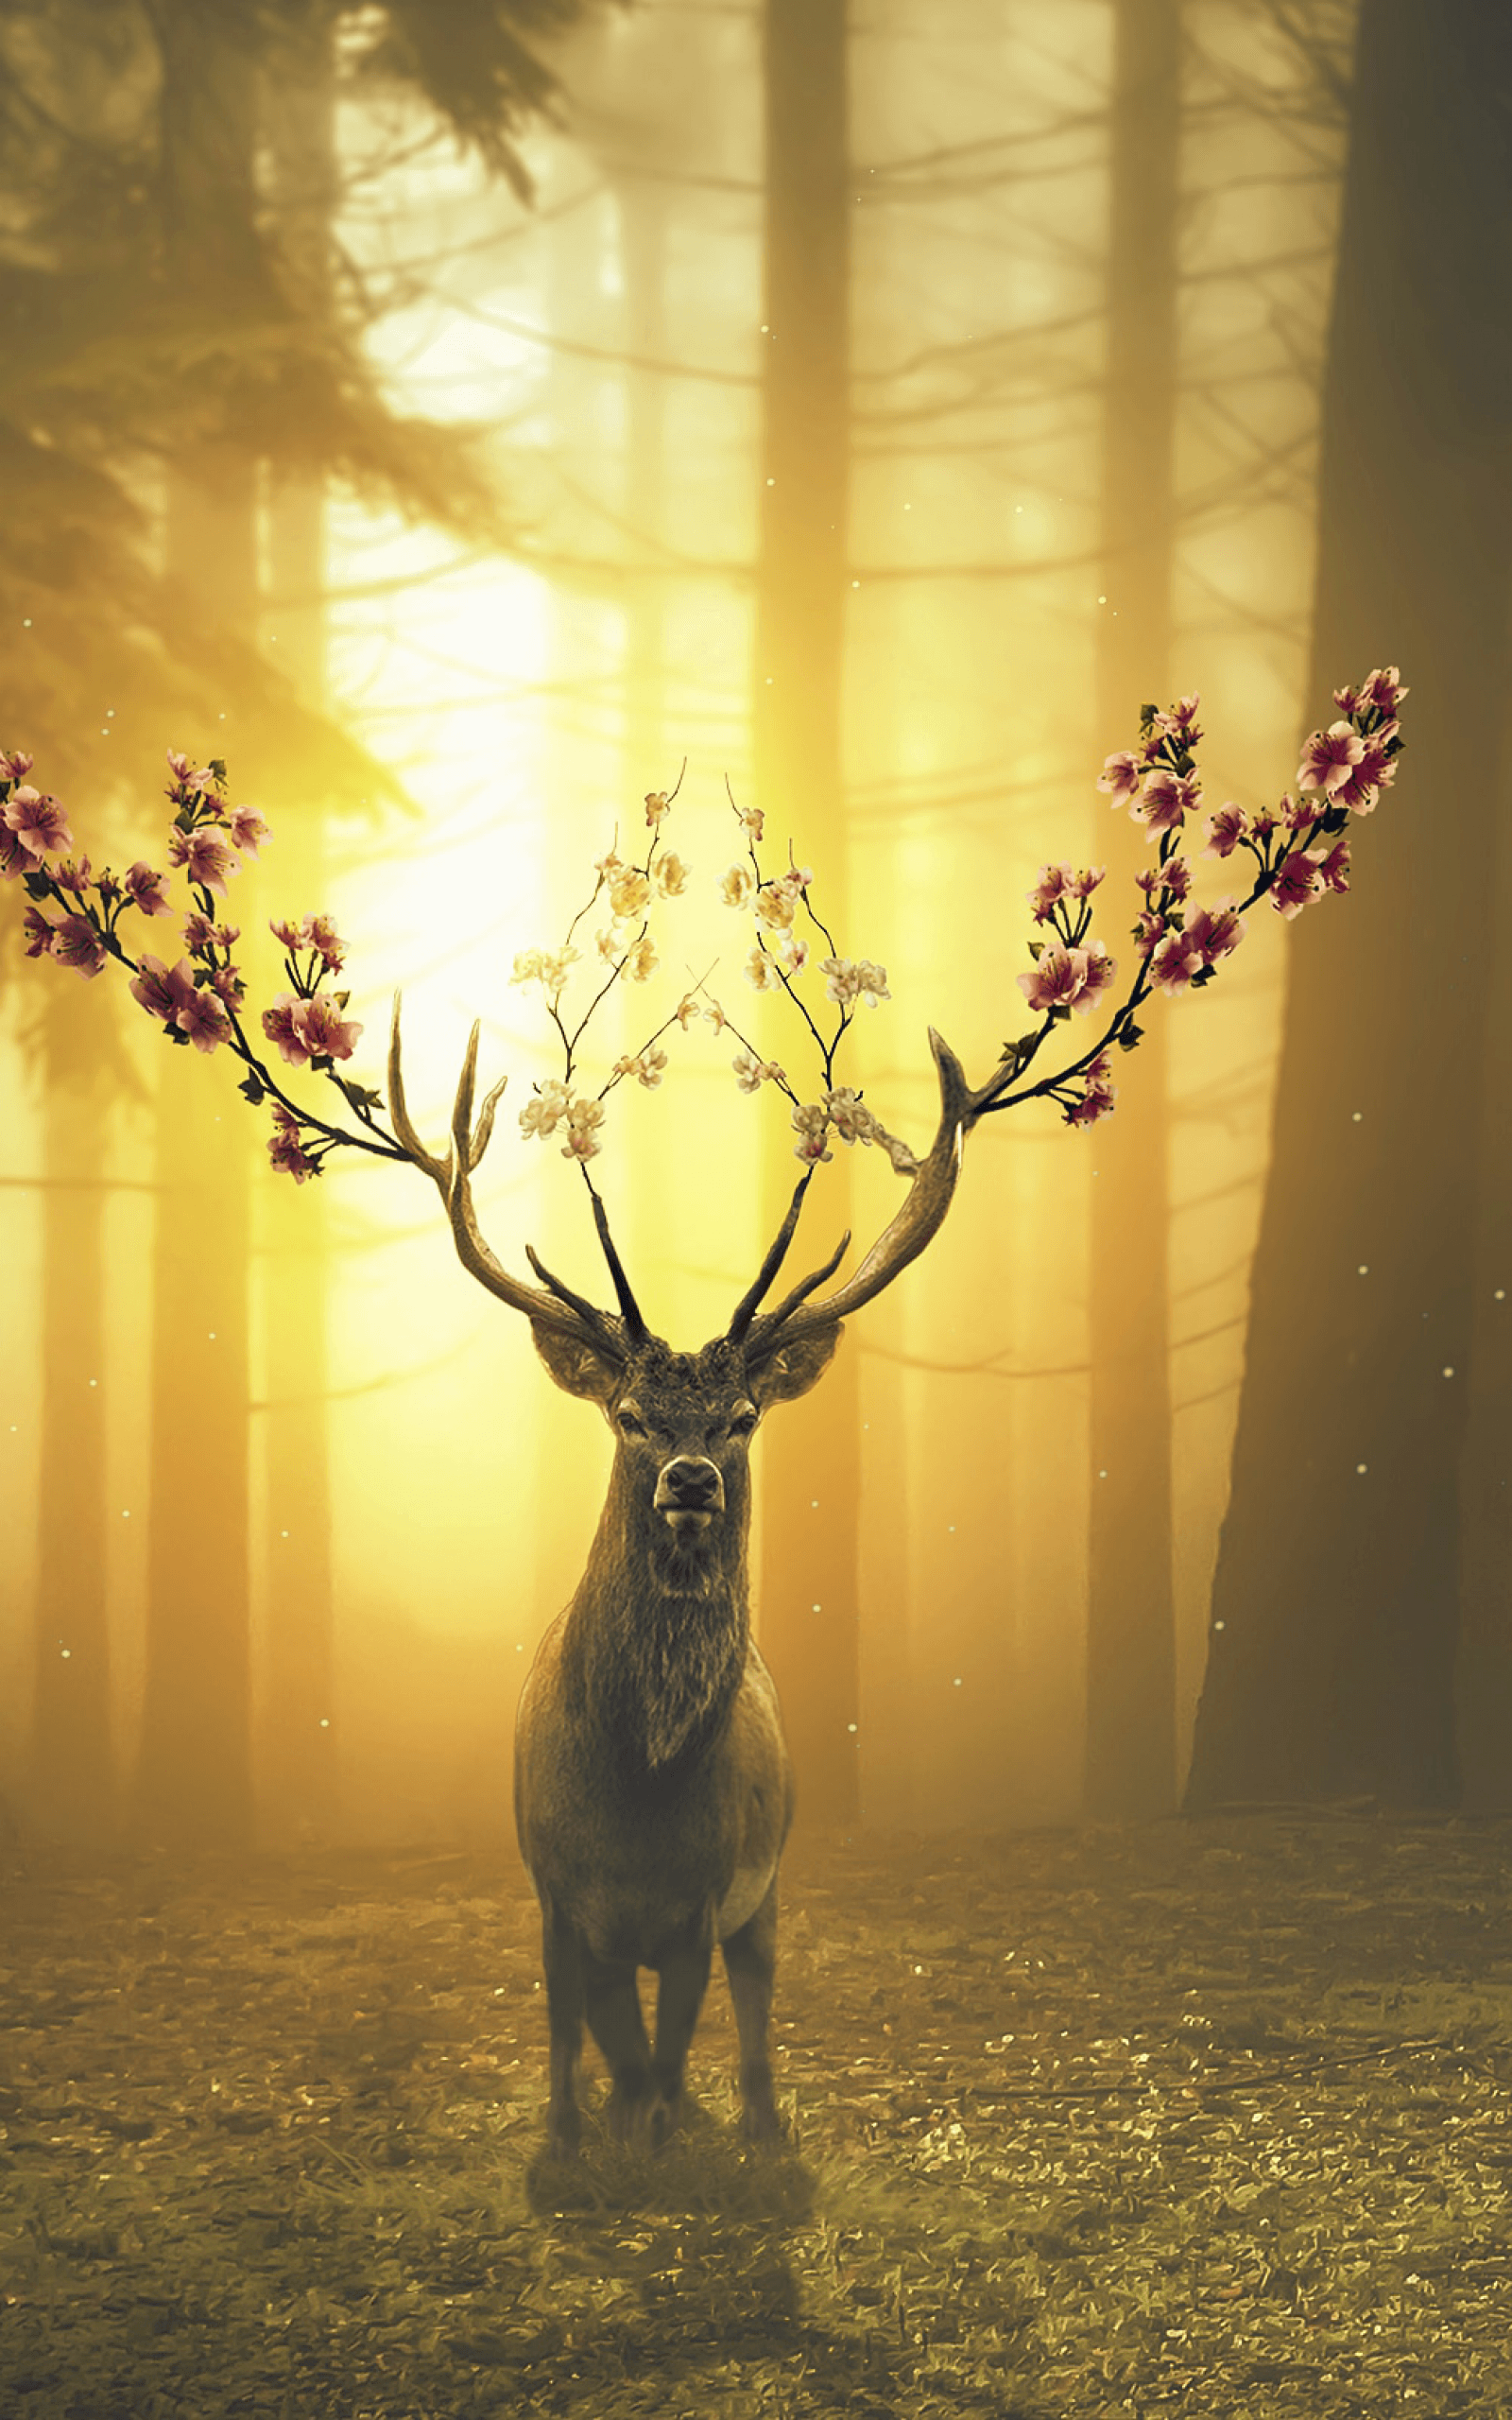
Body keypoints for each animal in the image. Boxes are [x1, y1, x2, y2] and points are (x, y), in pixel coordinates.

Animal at [388, 1006, 978, 2156]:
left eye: (741, 1417)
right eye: (628, 1414)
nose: (691, 1478)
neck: (638, 1788)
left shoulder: (710, 1893)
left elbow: (675, 2044)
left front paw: (665, 2139)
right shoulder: (548, 1887)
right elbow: (570, 2036)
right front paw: (569, 2140)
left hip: (771, 1885)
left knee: (749, 2009)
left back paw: (756, 2125)